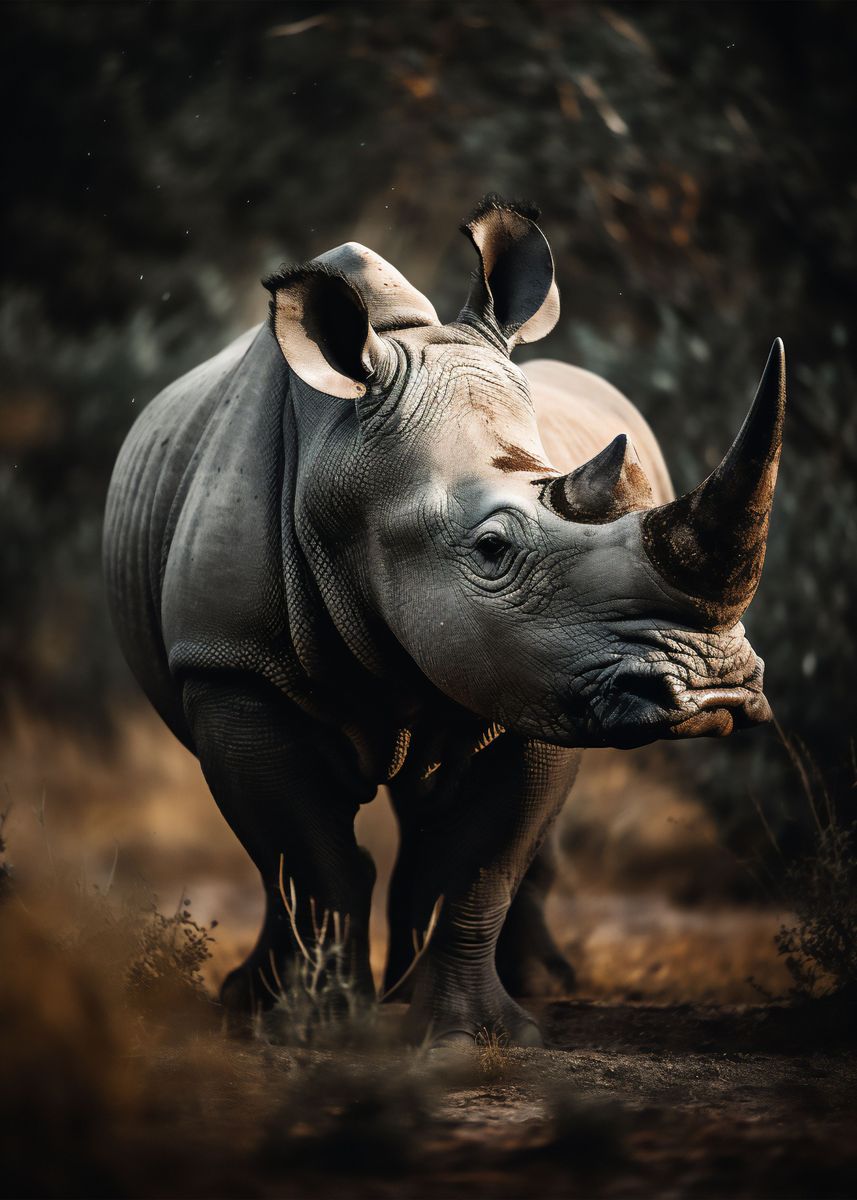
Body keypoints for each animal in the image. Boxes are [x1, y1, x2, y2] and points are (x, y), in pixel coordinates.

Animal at [103, 196, 785, 1047]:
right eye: (491, 549)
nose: (715, 695)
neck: (343, 468)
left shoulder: (538, 675)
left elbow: (480, 865)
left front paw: (474, 1037)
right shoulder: (230, 667)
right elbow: (306, 857)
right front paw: (318, 1027)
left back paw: (535, 984)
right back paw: (260, 999)